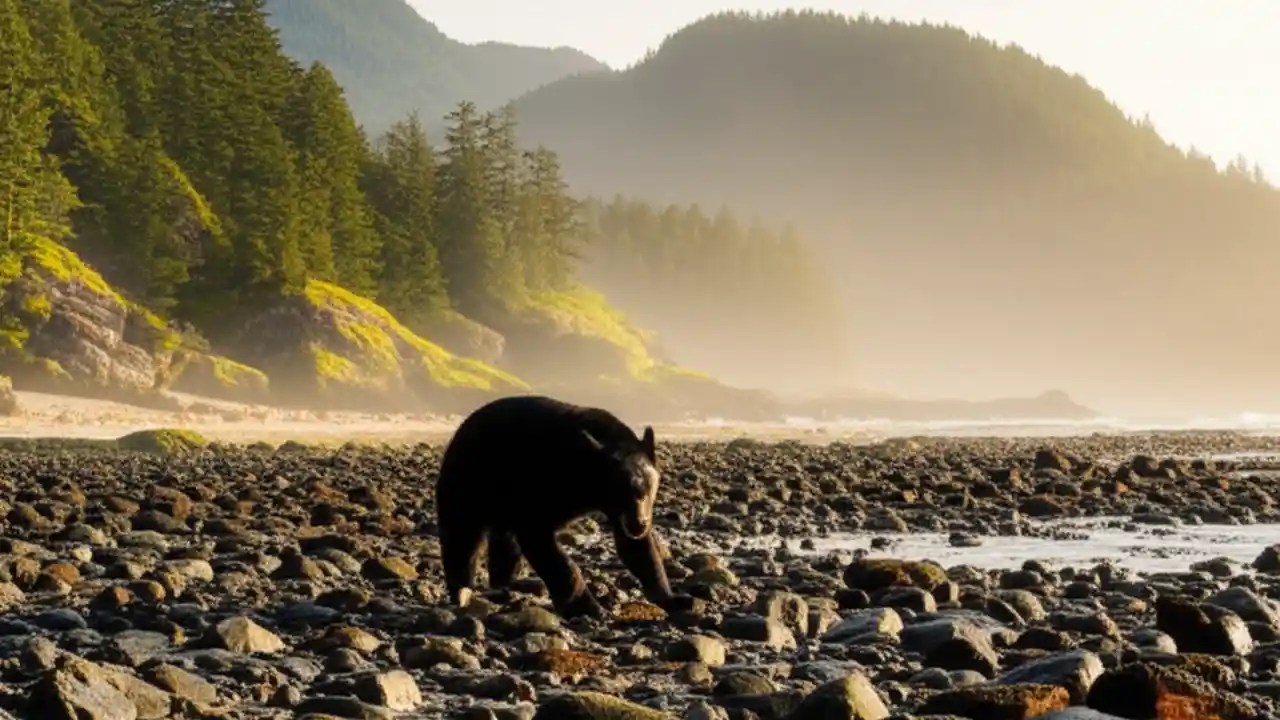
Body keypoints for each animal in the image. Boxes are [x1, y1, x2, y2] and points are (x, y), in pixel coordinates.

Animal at [434, 394, 696, 619]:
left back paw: (505, 585)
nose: (639, 524)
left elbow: (638, 550)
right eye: (623, 492)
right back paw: (462, 590)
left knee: (504, 542)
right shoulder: (544, 481)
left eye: (648, 491)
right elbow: (540, 540)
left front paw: (673, 597)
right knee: (461, 535)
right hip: (469, 479)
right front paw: (587, 606)